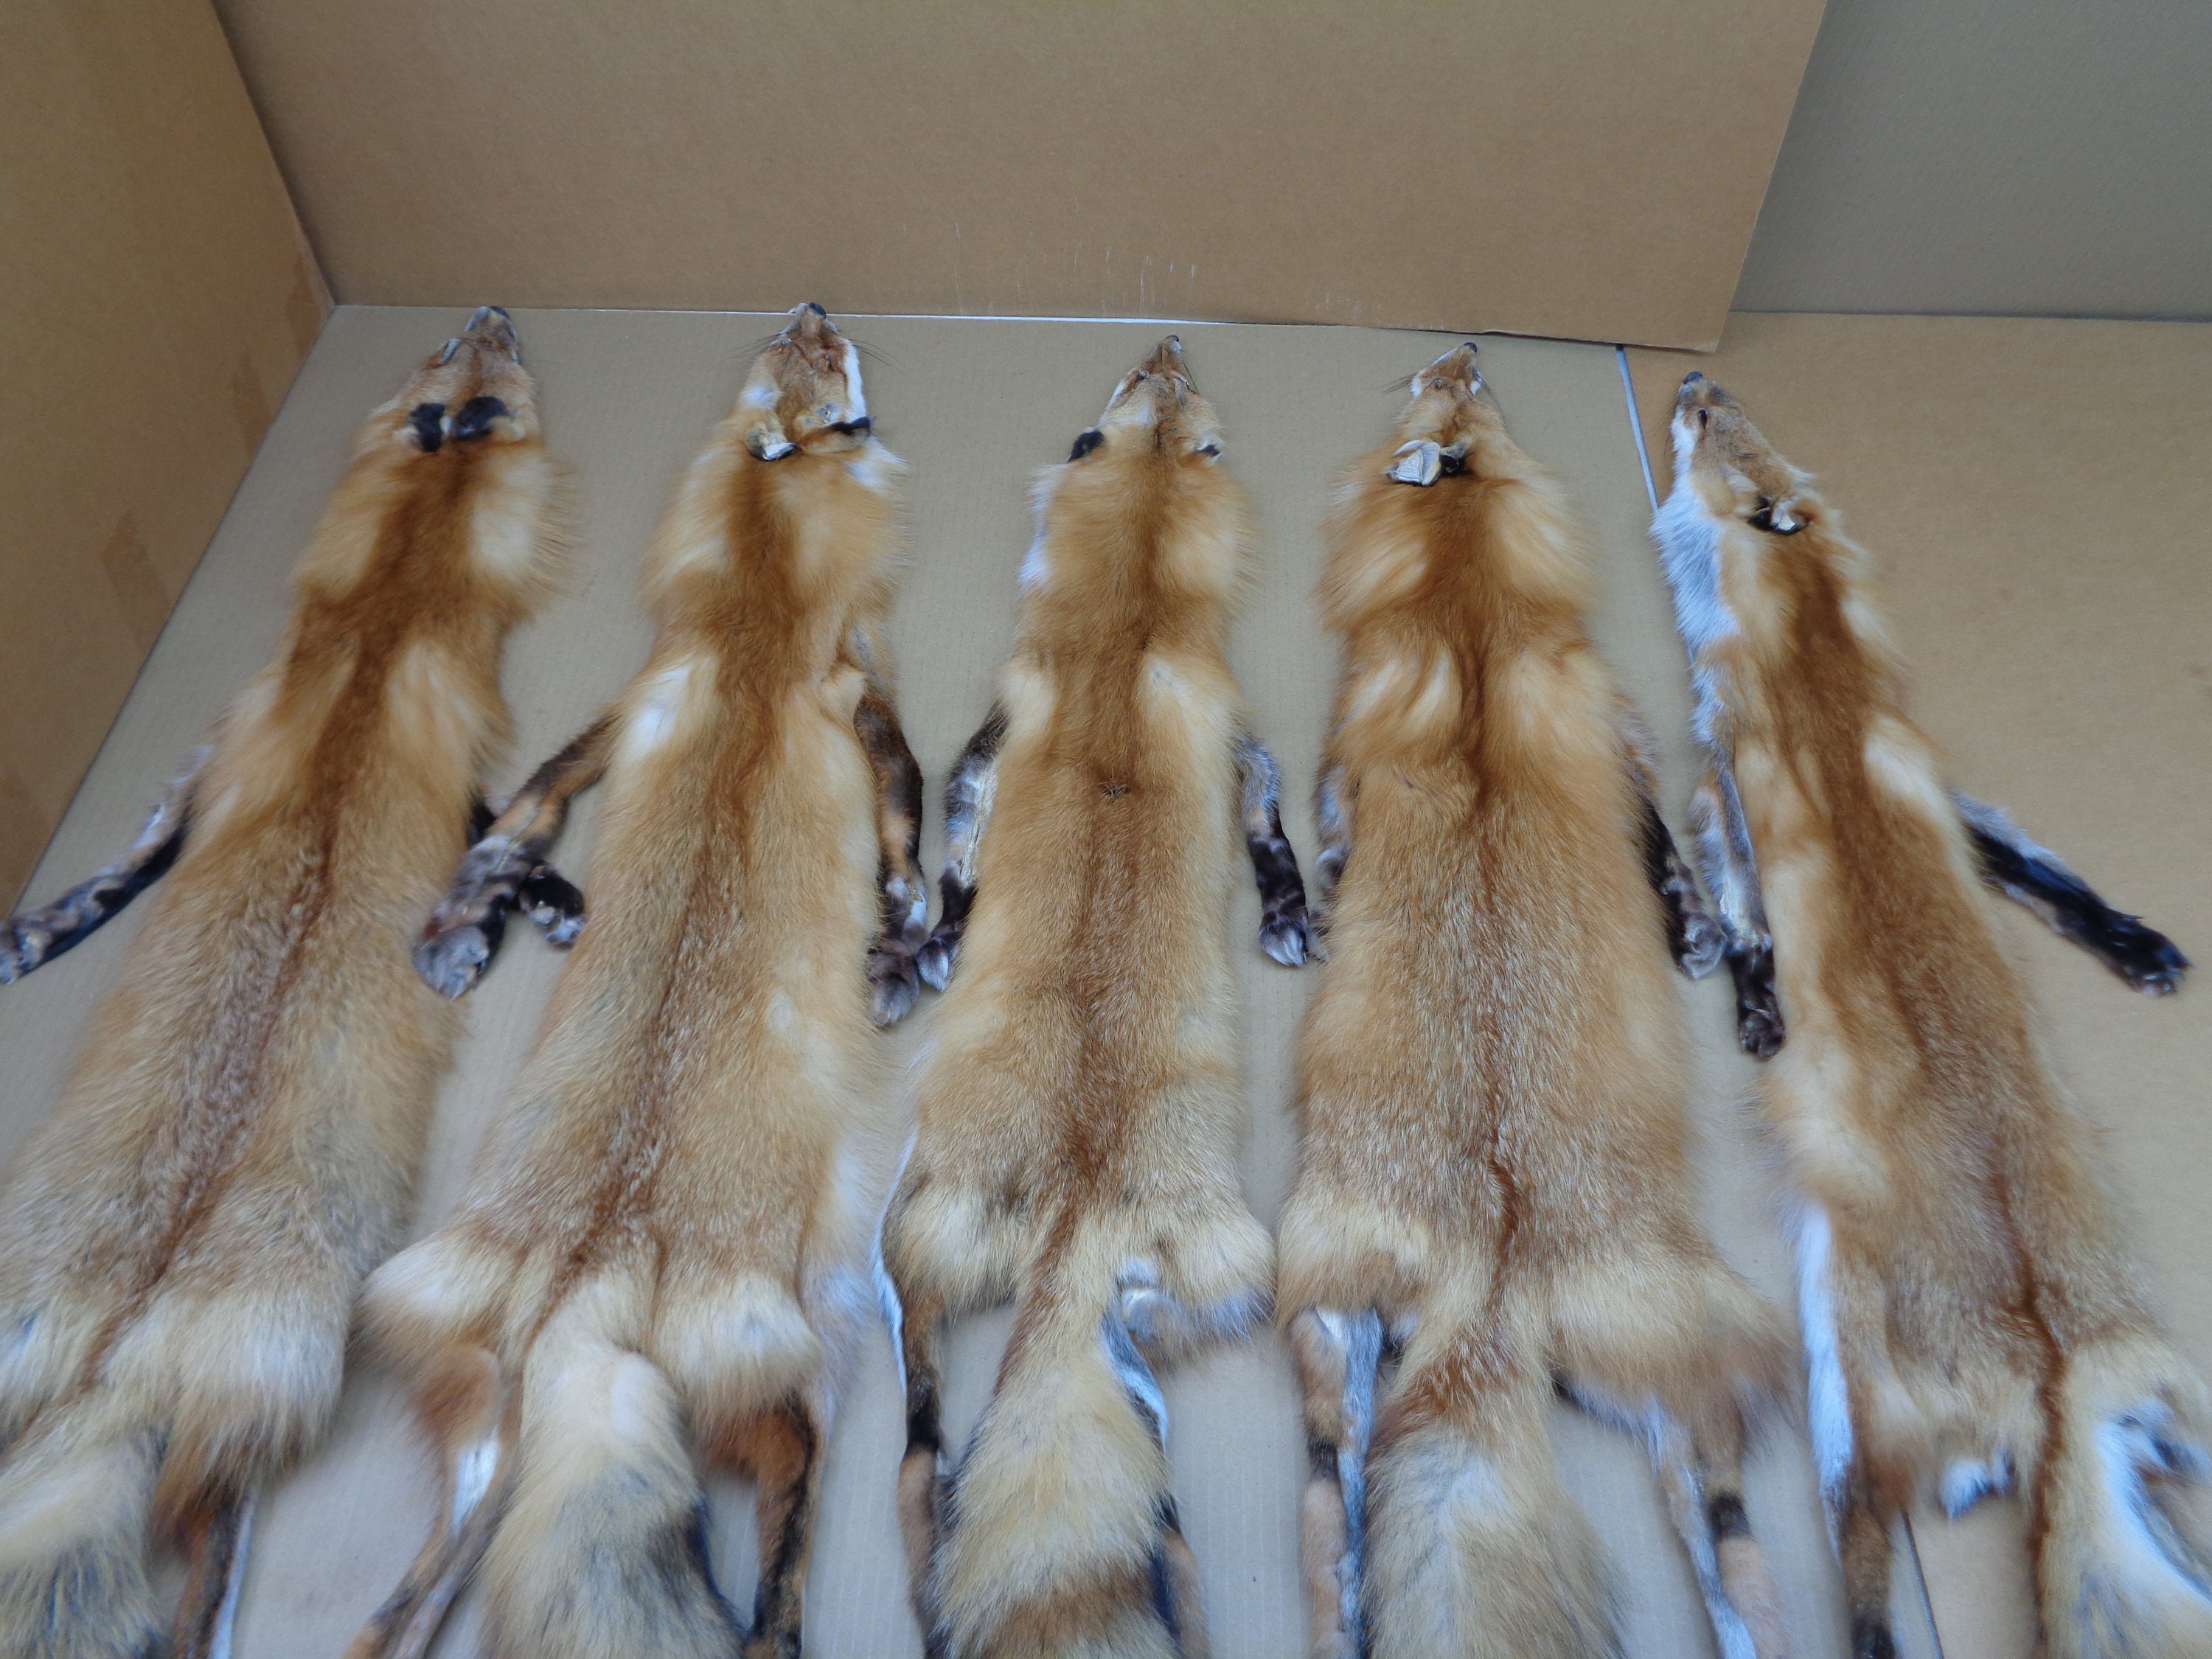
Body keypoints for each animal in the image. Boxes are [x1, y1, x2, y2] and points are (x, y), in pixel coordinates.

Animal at [0, 309, 560, 1659]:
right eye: (459, 354)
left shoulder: (222, 738)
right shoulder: (459, 769)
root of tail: (117, 1340)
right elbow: (503, 851)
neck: (381, 616)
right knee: (231, 1567)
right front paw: (502, 930)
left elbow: (138, 854)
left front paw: (38, 929)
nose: (493, 307)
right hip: (280, 1402)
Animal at [341, 304, 926, 1659]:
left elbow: (530, 802)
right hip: (805, 1361)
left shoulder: (645, 689)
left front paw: (467, 911)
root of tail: (578, 1285)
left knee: (419, 1594)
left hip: (479, 1430)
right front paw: (907, 938)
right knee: (785, 1545)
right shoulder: (861, 681)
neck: (758, 617)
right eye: (815, 368)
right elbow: (907, 816)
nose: (816, 305)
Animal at [875, 335, 1311, 1659]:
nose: (1168, 340)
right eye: (1146, 392)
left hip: (907, 1229)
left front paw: (929, 940)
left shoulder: (997, 726)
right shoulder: (1231, 727)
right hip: (1148, 1352)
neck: (1133, 625)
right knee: (1156, 1526)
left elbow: (957, 840)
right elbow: (1273, 817)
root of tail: (1076, 1208)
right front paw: (1291, 914)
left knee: (920, 1446)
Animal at [1274, 342, 1796, 1659]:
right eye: (1441, 385)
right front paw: (1699, 934)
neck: (1468, 606)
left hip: (1335, 1329)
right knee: (1738, 1556)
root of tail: (1493, 1266)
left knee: (1331, 1524)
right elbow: (1664, 845)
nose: (1462, 344)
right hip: (1684, 1390)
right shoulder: (1617, 731)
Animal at [1651, 371, 2203, 1659]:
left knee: (1859, 1577)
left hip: (1838, 1391)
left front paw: (1755, 1000)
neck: (1816, 651)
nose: (1694, 378)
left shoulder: (1718, 779)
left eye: (1711, 420)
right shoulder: (1926, 777)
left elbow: (1746, 912)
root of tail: (2053, 1368)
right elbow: (2030, 862)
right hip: (2167, 1467)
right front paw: (2134, 940)